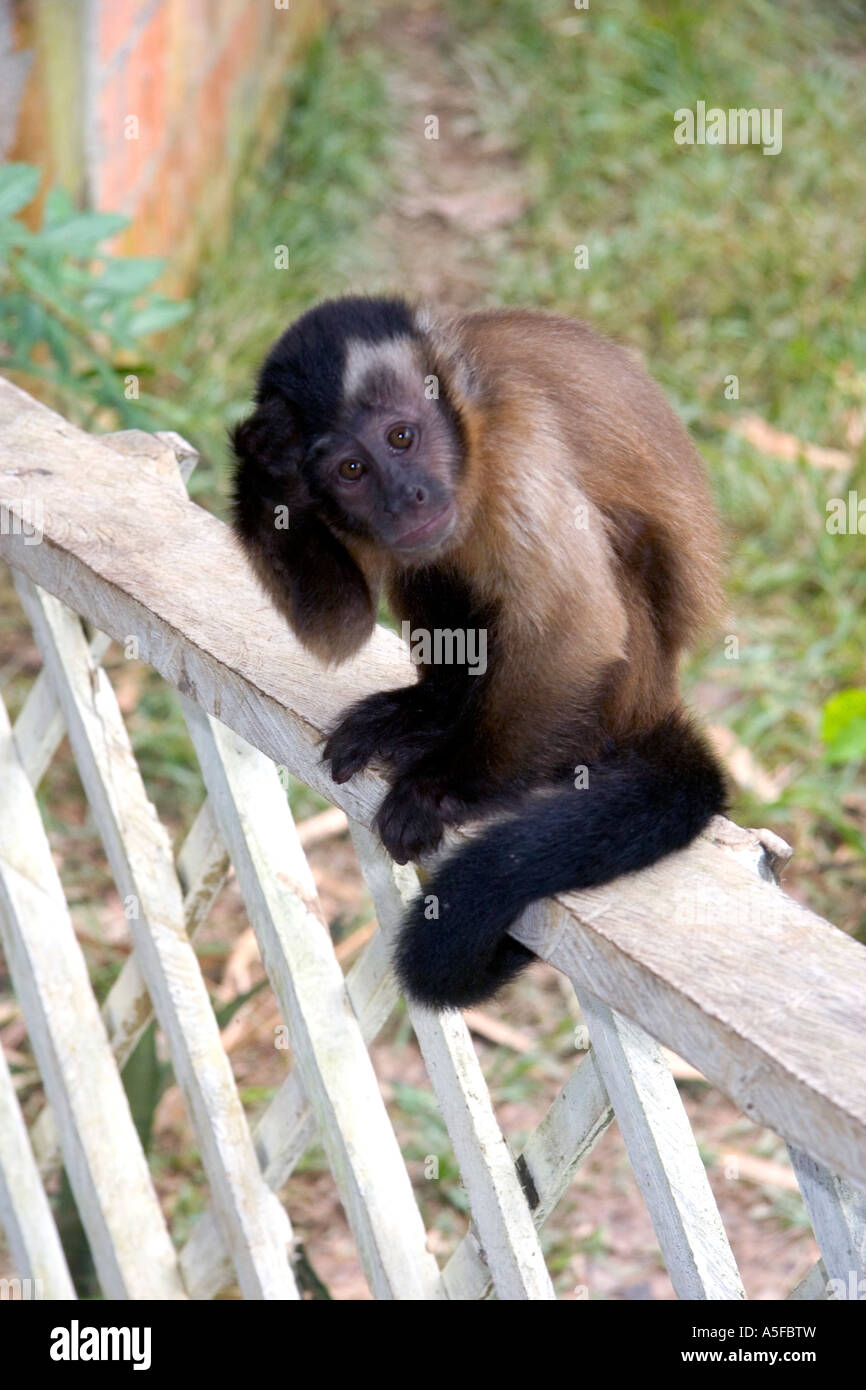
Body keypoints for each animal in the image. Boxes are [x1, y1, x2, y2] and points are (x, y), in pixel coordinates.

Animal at [231, 294, 728, 1011]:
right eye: (352, 470)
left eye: (402, 437)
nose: (405, 494)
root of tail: (656, 697)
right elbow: (339, 627)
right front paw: (261, 458)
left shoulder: (520, 446)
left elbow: (579, 628)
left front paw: (446, 788)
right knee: (432, 566)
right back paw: (430, 711)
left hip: (622, 694)